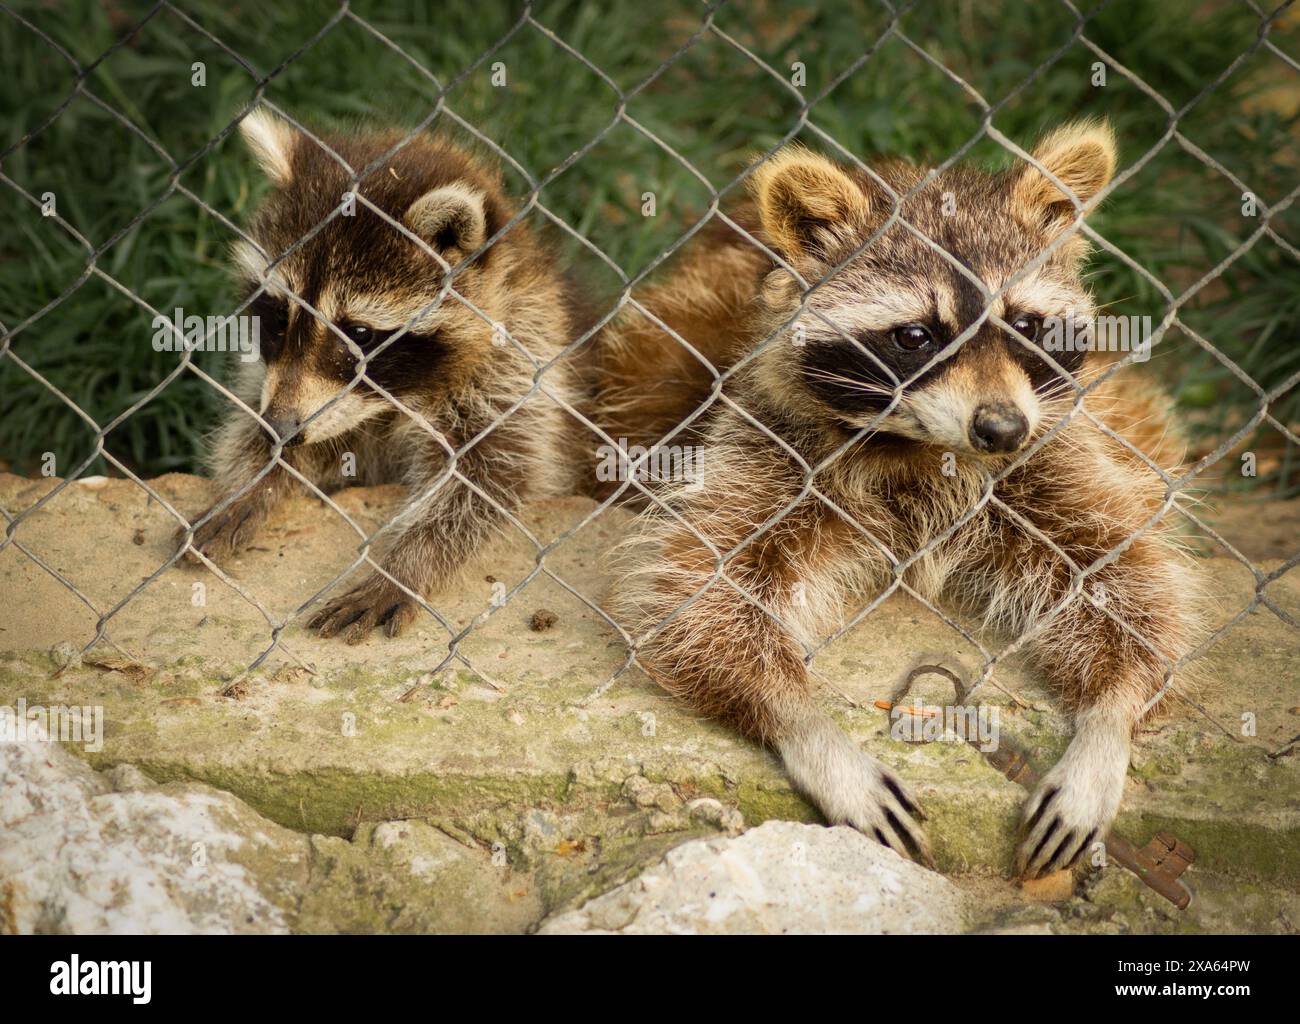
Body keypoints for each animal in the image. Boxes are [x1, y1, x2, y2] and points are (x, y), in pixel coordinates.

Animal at [177, 110, 589, 643]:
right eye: (281, 316)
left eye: (359, 333)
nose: (281, 430)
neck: (400, 395)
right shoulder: (284, 385)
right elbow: (262, 420)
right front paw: (252, 481)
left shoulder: (518, 366)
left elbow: (486, 482)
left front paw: (405, 565)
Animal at [614, 121, 1202, 877]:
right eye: (917, 335)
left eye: (1027, 325)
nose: (1001, 428)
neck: (920, 449)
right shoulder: (769, 444)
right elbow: (700, 597)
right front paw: (805, 725)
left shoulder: (1052, 449)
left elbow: (1130, 581)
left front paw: (1108, 722)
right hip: (660, 339)